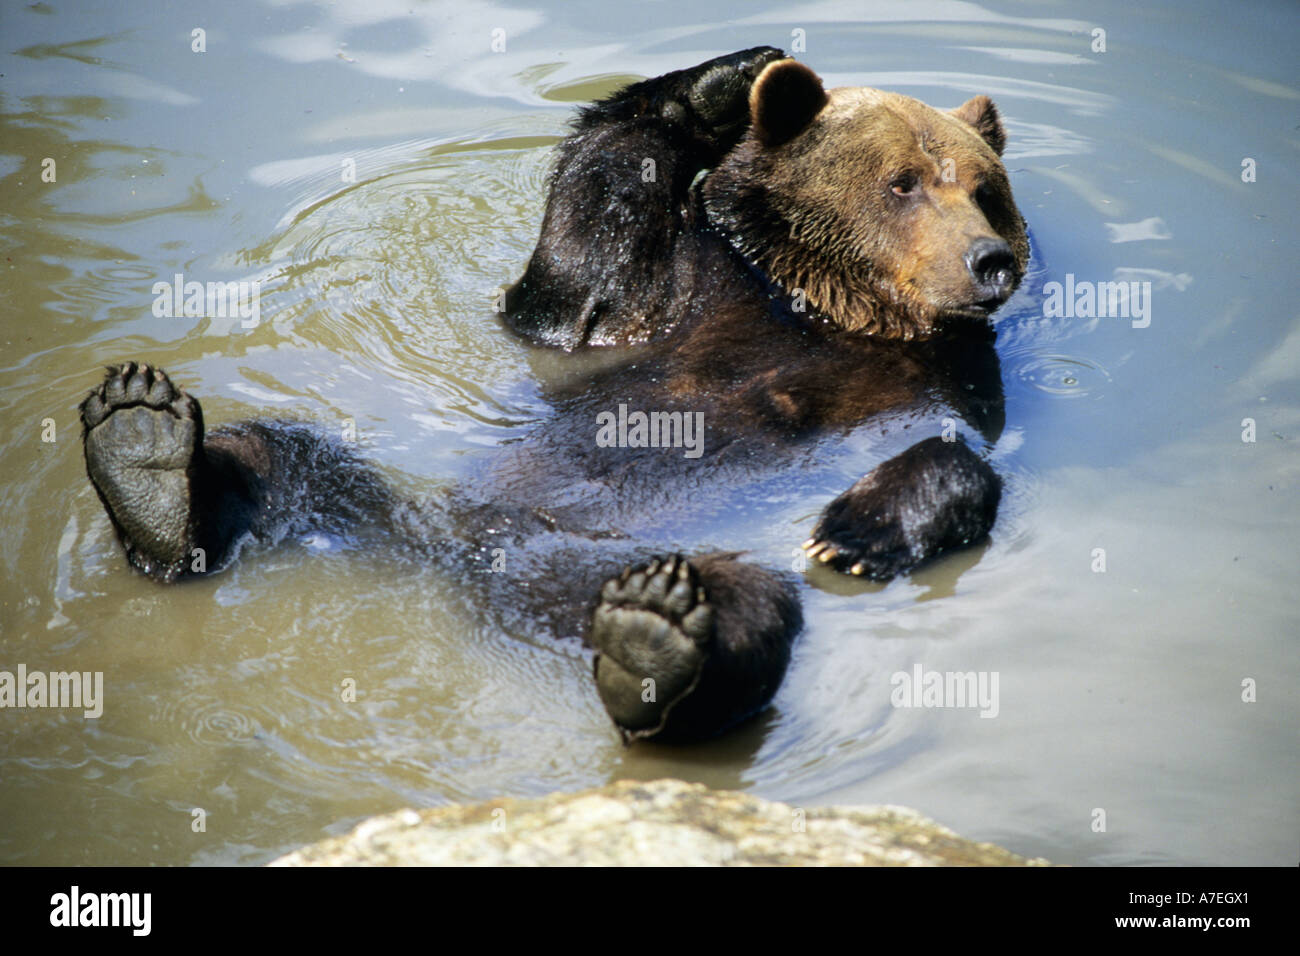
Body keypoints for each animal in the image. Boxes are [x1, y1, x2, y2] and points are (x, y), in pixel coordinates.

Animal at [77, 47, 1028, 743]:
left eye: (983, 188)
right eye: (902, 181)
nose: (987, 260)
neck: (823, 309)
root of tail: (453, 560)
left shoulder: (939, 382)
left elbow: (953, 462)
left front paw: (855, 533)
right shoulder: (681, 285)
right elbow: (583, 251)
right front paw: (721, 85)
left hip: (603, 565)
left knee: (748, 603)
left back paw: (657, 642)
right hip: (377, 495)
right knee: (272, 454)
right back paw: (149, 458)